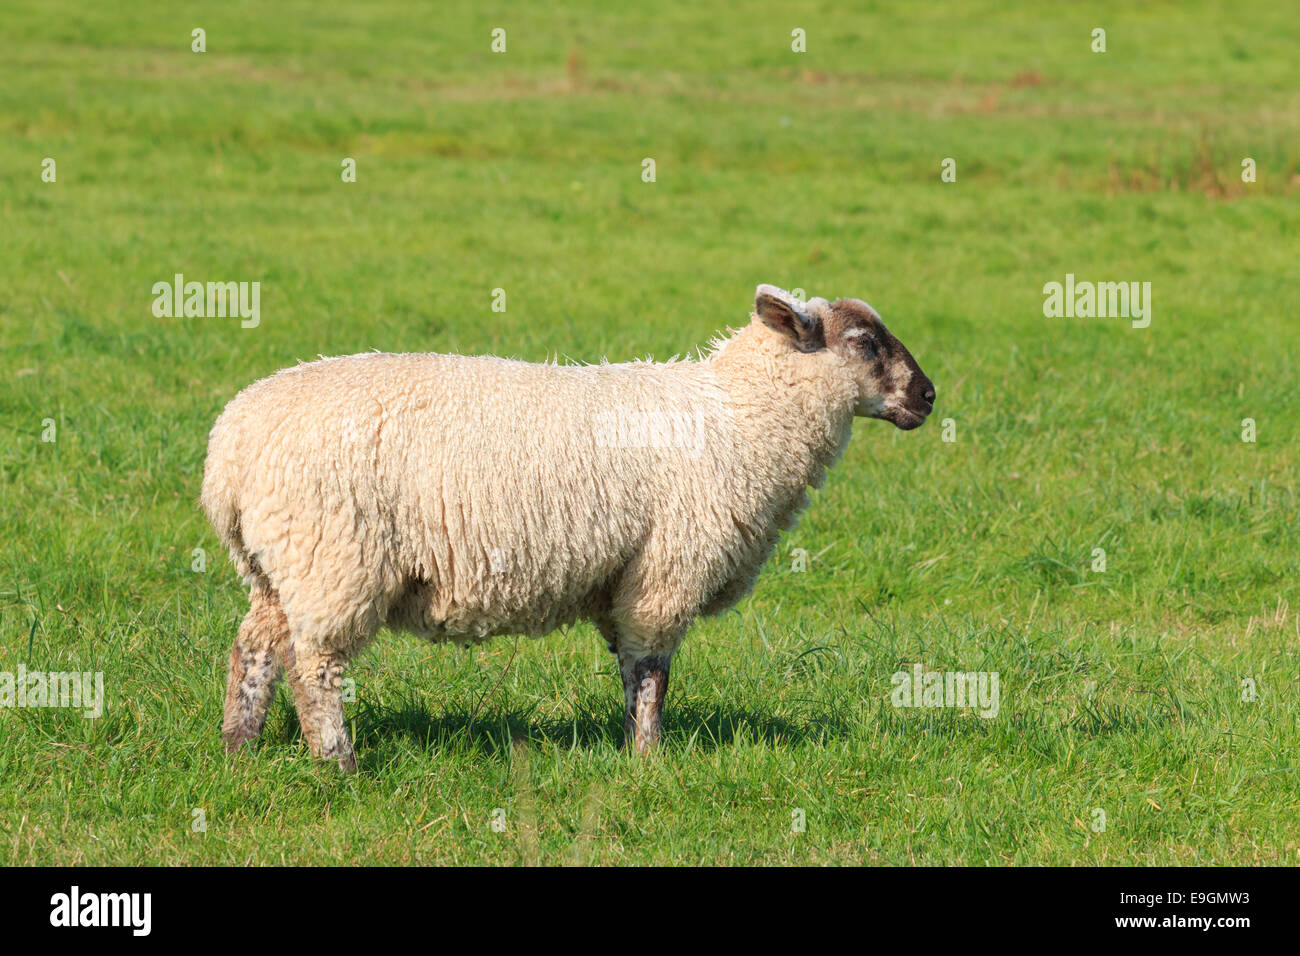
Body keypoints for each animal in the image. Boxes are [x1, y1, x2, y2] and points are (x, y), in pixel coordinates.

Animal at [202, 284, 935, 770]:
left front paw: (636, 750)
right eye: (865, 343)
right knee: (313, 667)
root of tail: (228, 452)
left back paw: (239, 749)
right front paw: (650, 761)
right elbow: (652, 673)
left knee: (255, 650)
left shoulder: (624, 579)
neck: (740, 415)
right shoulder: (665, 571)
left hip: (279, 566)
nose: (929, 397)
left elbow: (631, 673)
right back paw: (338, 766)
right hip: (334, 560)